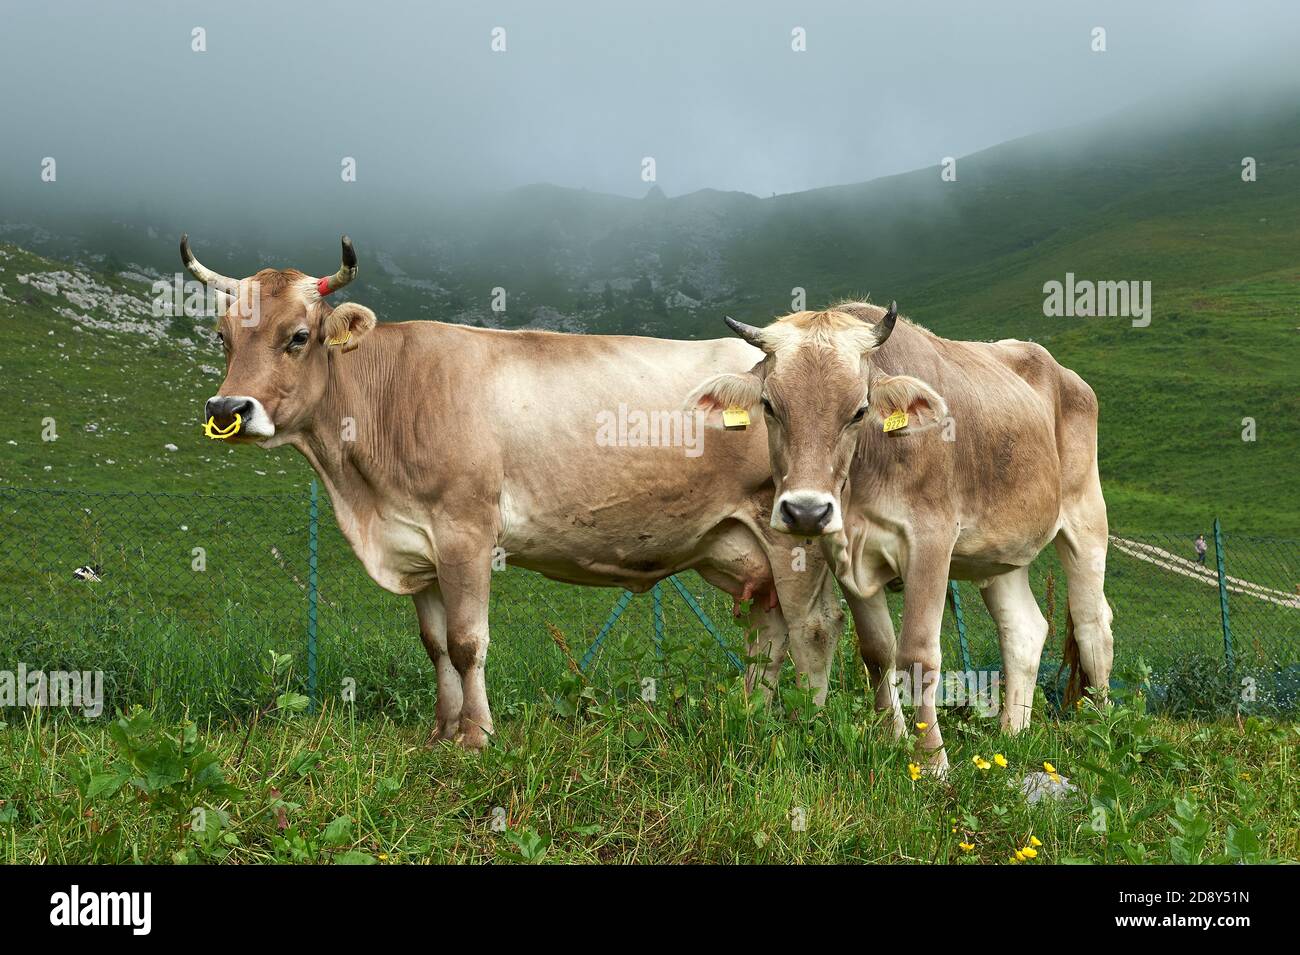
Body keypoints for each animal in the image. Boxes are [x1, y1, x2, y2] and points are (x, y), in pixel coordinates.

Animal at [182, 235, 843, 748]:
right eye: (222, 336)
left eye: (297, 337)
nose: (227, 409)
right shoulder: (420, 542)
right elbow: (434, 645)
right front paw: (441, 733)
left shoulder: (465, 531)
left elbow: (467, 642)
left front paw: (477, 737)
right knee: (768, 629)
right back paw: (751, 716)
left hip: (793, 528)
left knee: (813, 625)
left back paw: (807, 727)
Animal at [686, 301, 1113, 771]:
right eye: (769, 405)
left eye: (859, 409)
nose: (806, 511)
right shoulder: (845, 551)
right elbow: (877, 653)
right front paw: (892, 739)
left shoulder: (930, 541)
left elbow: (918, 655)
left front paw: (932, 763)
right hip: (1001, 552)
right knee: (1024, 630)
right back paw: (1012, 733)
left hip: (1086, 516)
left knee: (1094, 626)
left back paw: (1104, 731)